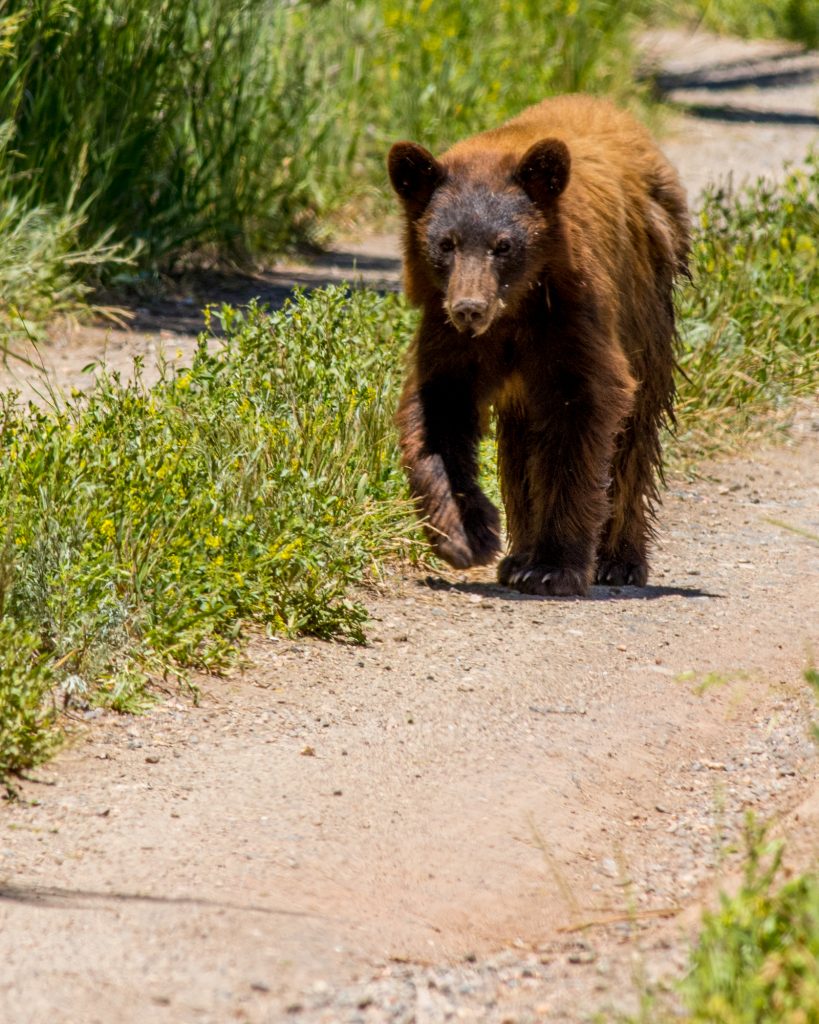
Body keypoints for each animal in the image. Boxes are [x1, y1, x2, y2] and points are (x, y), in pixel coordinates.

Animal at [388, 94, 690, 596]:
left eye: (504, 245)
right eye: (445, 243)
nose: (470, 308)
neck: (515, 311)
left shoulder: (574, 318)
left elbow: (580, 419)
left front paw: (553, 567)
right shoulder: (449, 336)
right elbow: (437, 414)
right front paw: (466, 534)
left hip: (646, 306)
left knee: (635, 433)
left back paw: (619, 560)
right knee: (520, 443)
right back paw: (517, 555)